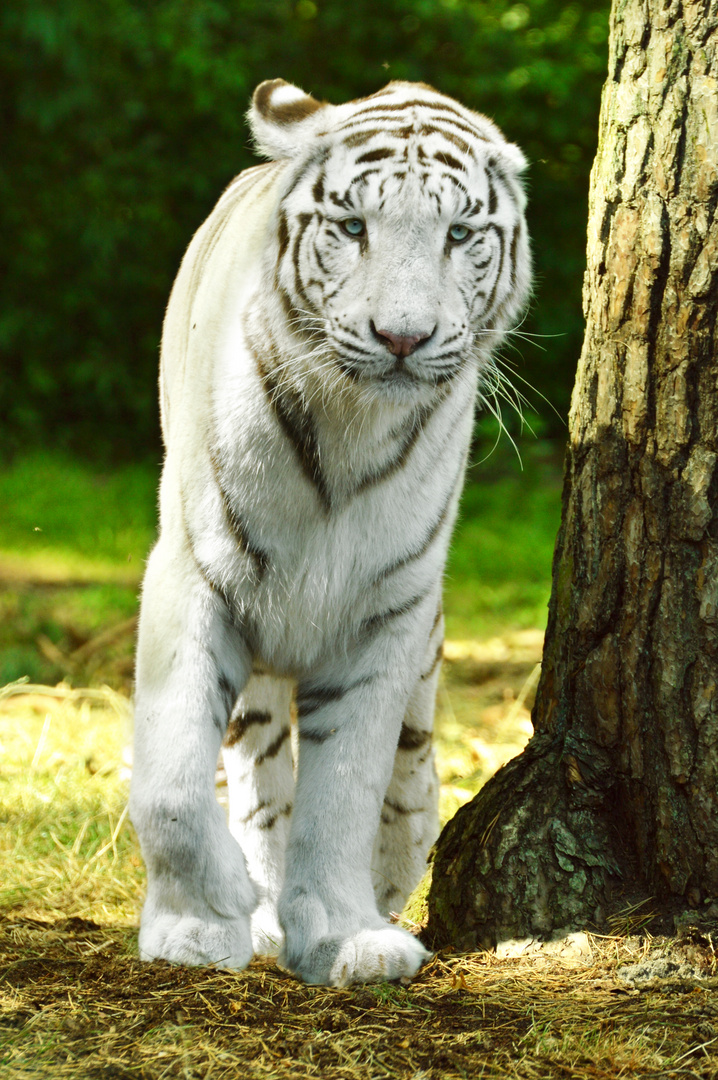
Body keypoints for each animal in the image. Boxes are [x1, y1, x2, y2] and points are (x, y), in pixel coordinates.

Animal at [129, 77, 531, 987]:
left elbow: (348, 785)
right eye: (353, 228)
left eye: (459, 235)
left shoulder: (387, 613)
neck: (349, 424)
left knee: (409, 757)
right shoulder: (193, 575)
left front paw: (349, 934)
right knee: (256, 770)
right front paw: (203, 918)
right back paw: (257, 902)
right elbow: (172, 782)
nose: (403, 337)